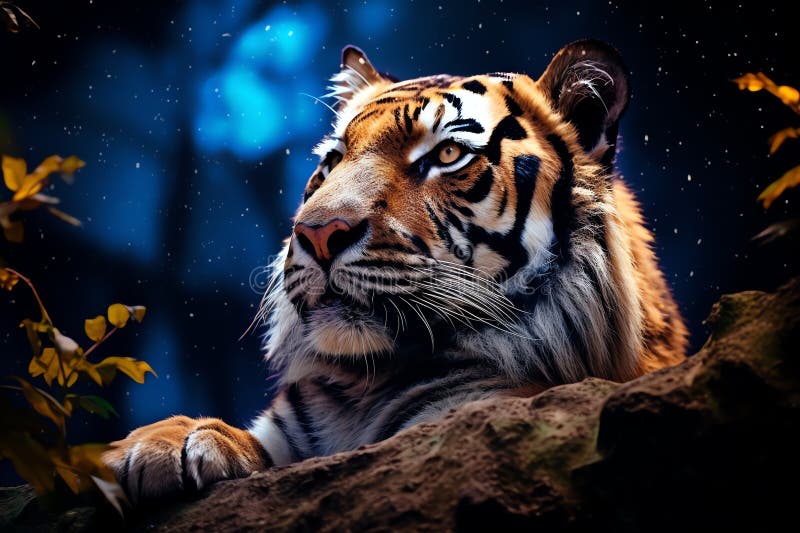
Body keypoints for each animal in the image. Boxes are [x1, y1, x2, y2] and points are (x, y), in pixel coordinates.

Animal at [103, 40, 687, 501]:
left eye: (447, 154)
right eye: (332, 162)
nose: (317, 233)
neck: (368, 382)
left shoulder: (468, 415)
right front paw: (165, 442)